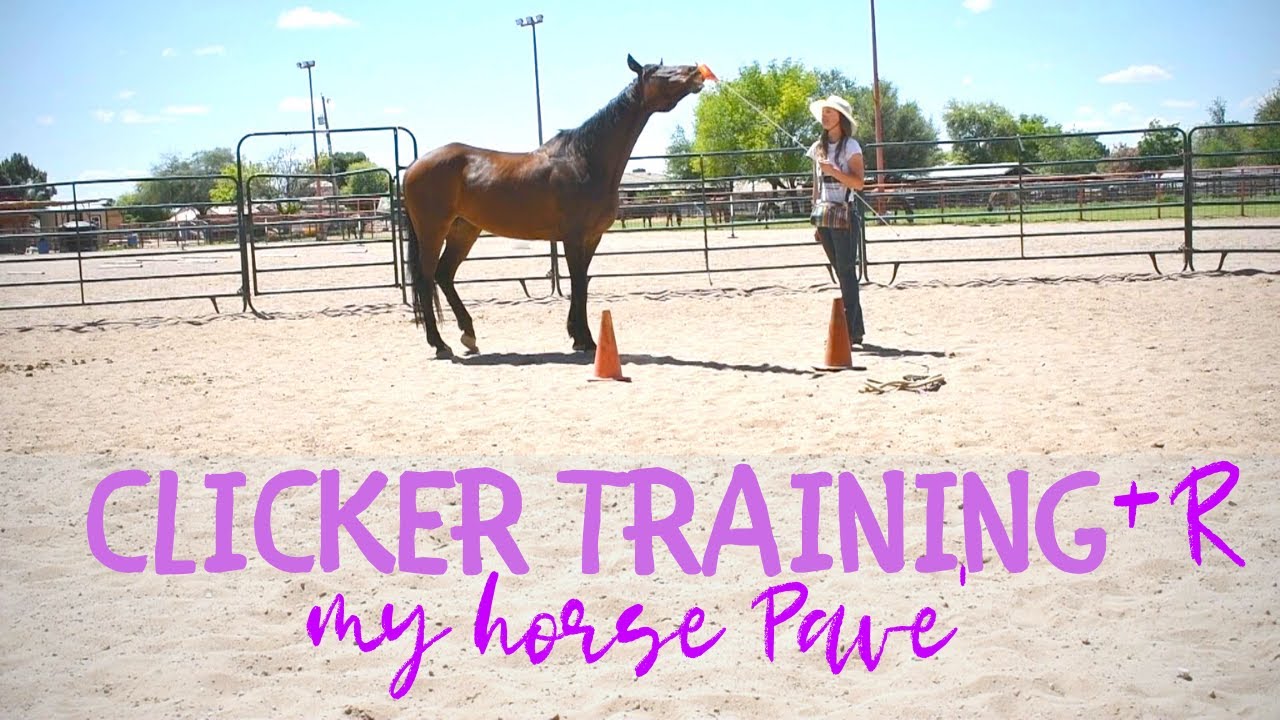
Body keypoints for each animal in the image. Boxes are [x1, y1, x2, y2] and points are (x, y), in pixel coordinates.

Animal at [401, 55, 707, 358]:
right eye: (658, 73)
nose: (696, 71)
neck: (585, 160)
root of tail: (413, 167)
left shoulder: (591, 238)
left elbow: (583, 281)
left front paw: (577, 336)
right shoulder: (573, 238)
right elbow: (578, 283)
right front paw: (587, 340)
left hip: (464, 230)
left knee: (444, 274)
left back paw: (468, 335)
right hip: (432, 232)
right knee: (426, 278)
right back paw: (440, 343)